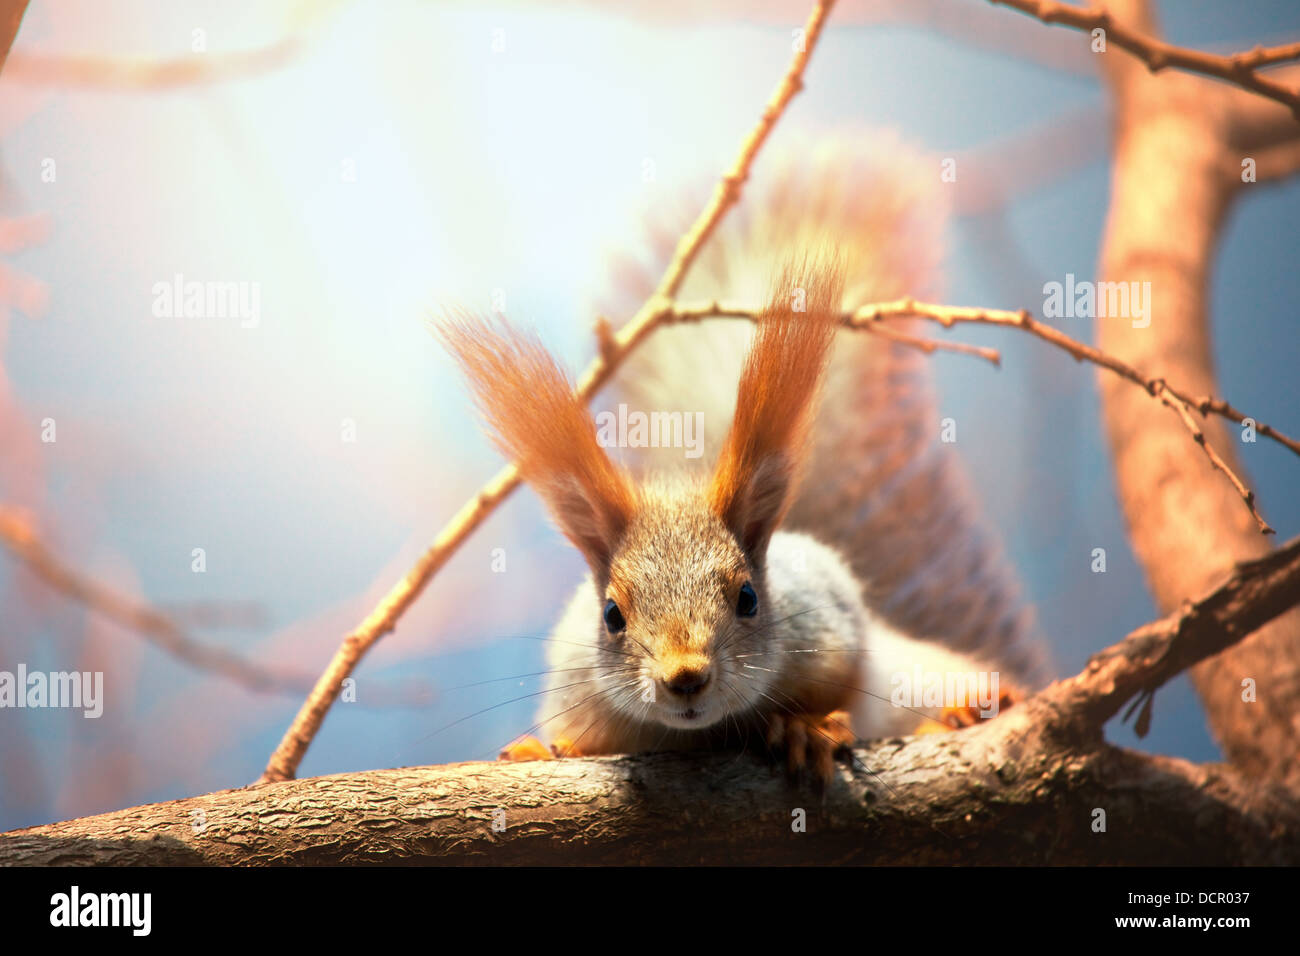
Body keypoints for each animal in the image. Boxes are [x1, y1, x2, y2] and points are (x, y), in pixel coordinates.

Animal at [438, 134, 1047, 785]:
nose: (685, 676)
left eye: (748, 598)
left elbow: (842, 681)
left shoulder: (830, 621)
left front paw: (804, 727)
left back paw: (970, 708)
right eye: (611, 615)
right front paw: (542, 749)